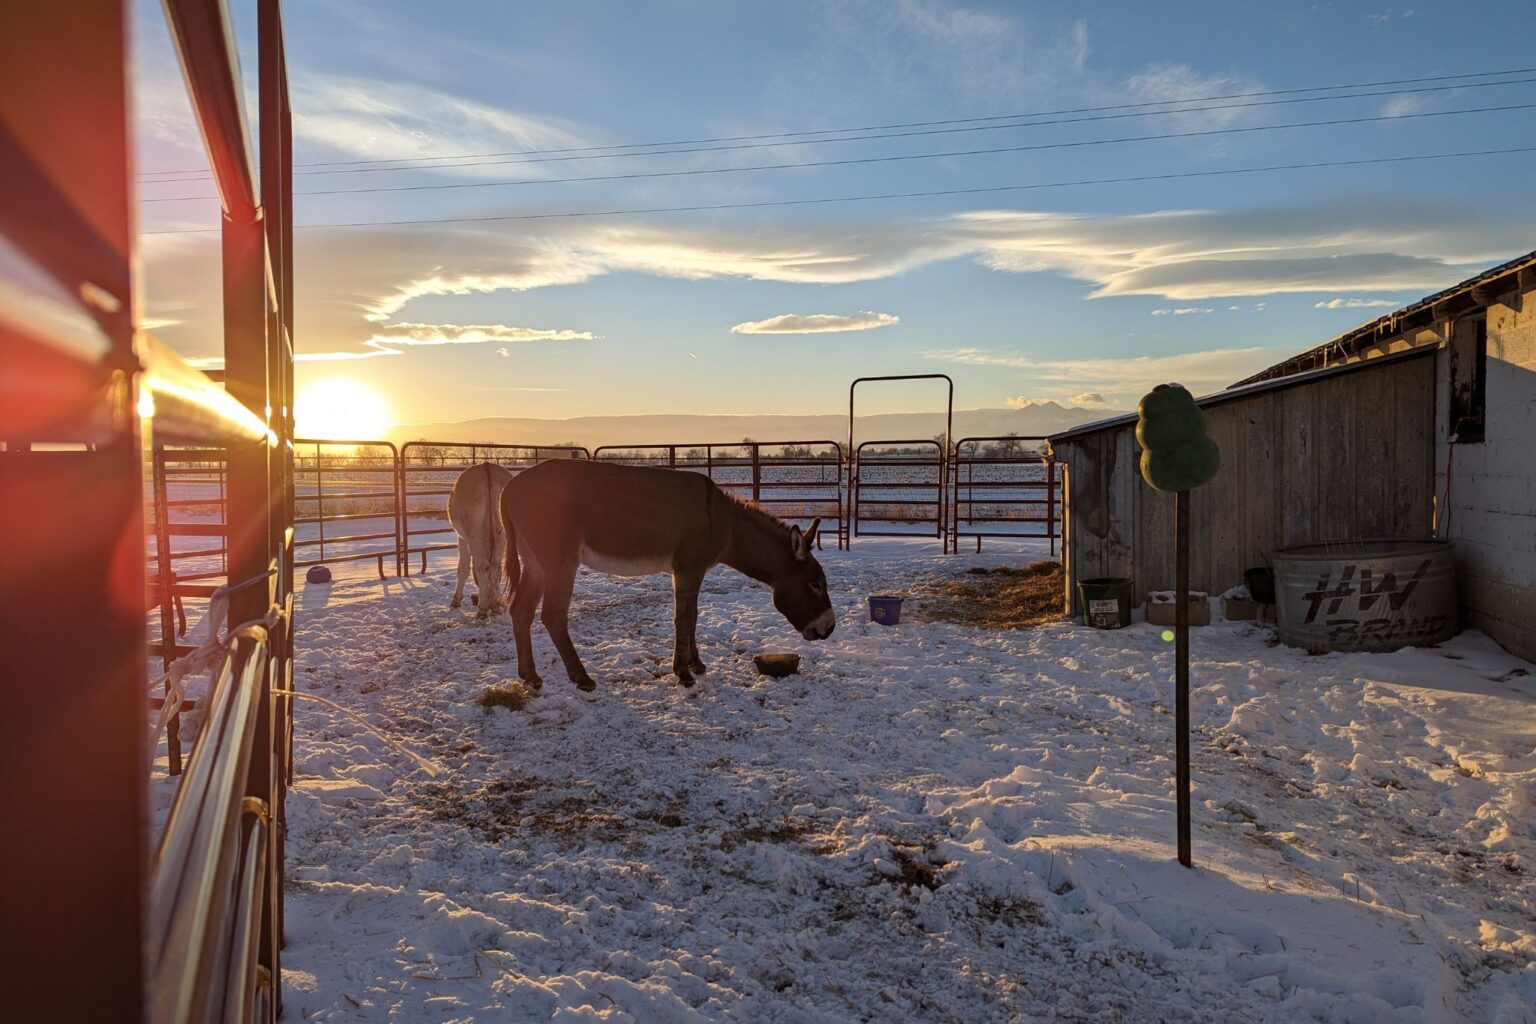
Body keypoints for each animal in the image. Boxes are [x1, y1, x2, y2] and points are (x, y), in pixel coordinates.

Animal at [499, 458, 834, 691]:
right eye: (815, 584)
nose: (829, 629)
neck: (725, 522)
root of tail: (509, 487)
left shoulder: (688, 572)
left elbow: (693, 616)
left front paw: (696, 664)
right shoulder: (689, 568)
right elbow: (684, 618)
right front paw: (683, 673)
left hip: (535, 562)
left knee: (520, 610)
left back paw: (530, 676)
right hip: (559, 561)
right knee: (552, 615)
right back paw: (582, 678)